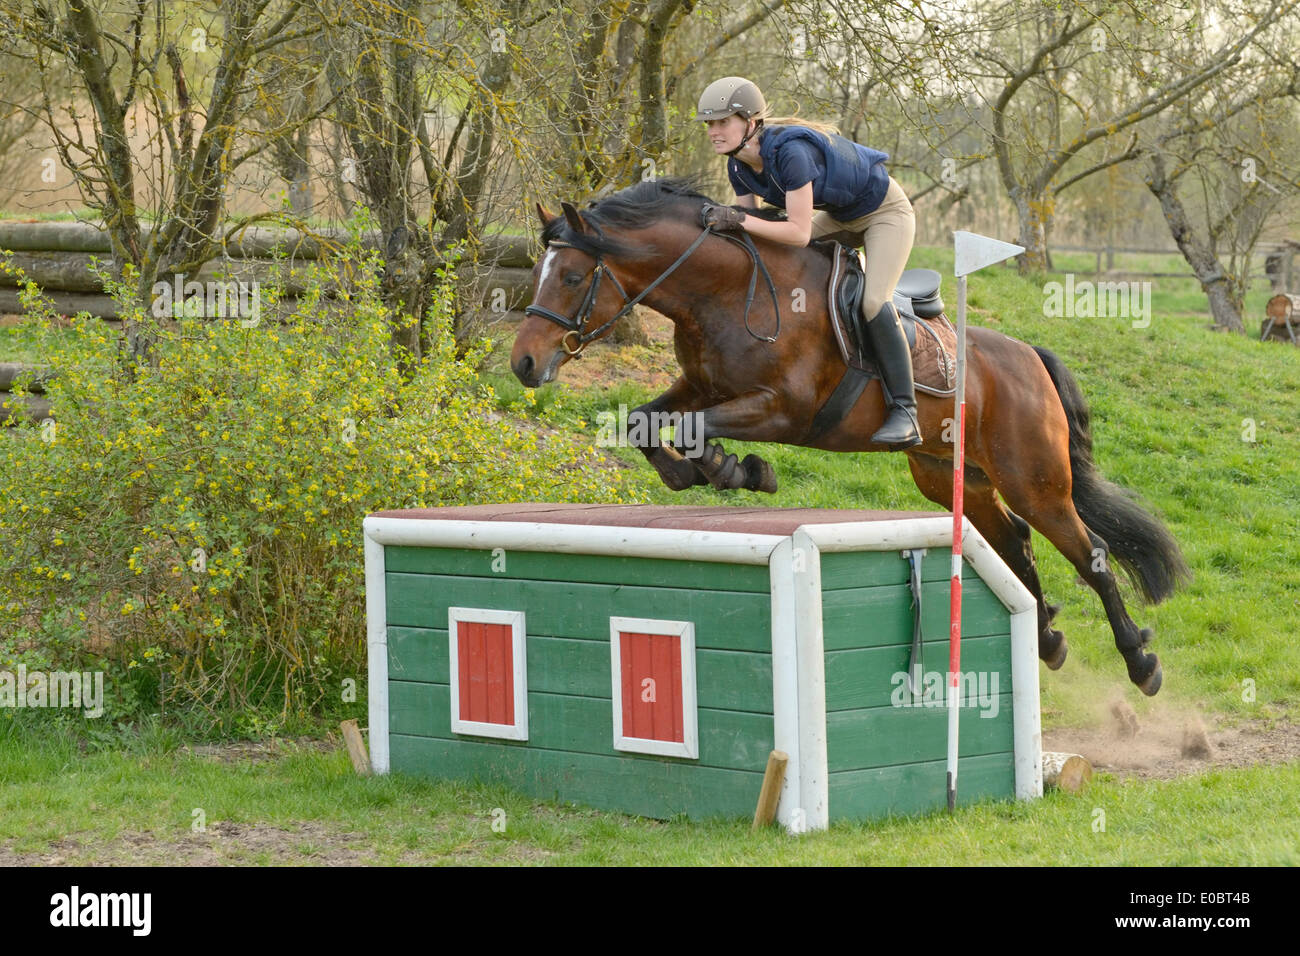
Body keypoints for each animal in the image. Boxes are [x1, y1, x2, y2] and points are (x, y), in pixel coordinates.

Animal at [511, 178, 1189, 695]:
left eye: (571, 277)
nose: (523, 363)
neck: (725, 290)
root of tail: (1028, 355)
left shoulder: (785, 411)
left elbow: (695, 429)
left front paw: (737, 470)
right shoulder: (701, 385)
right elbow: (645, 421)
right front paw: (693, 472)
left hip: (1035, 480)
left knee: (1091, 553)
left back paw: (1142, 662)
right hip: (953, 476)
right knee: (1015, 545)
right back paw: (1046, 638)